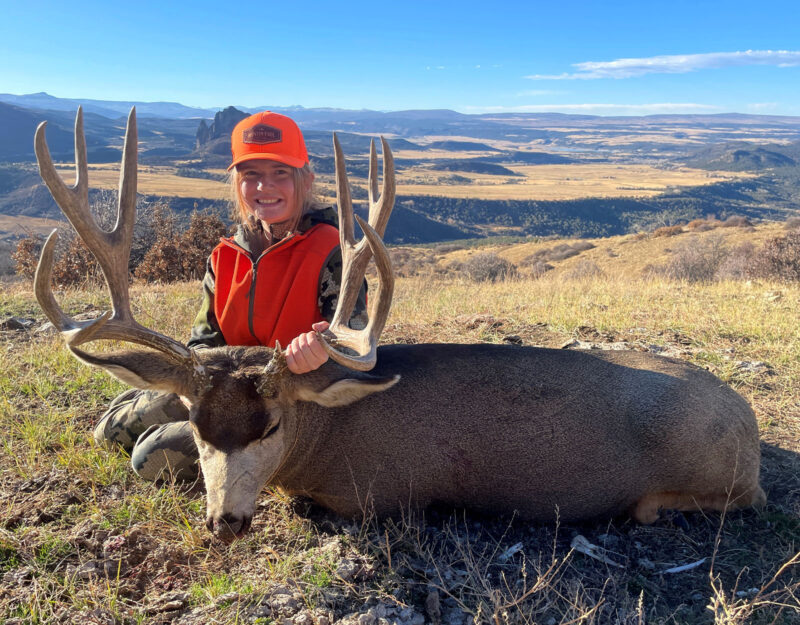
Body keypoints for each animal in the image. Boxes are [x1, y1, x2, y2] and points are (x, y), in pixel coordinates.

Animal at [34, 108, 766, 541]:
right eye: (200, 425)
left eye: (269, 426)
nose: (225, 522)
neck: (328, 433)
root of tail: (751, 424)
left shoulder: (377, 496)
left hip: (720, 477)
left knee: (739, 499)